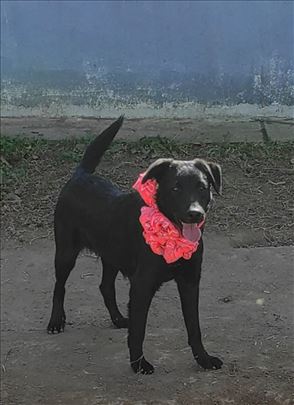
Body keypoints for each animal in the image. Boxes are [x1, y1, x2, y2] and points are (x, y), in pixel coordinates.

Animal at [47, 115, 223, 374]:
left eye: (202, 187)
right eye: (176, 188)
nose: (195, 214)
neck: (171, 232)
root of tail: (81, 174)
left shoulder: (190, 283)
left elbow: (194, 327)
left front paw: (203, 358)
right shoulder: (142, 286)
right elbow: (139, 330)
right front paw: (139, 363)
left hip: (111, 255)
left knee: (105, 286)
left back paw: (118, 318)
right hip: (66, 252)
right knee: (59, 287)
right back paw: (56, 321)